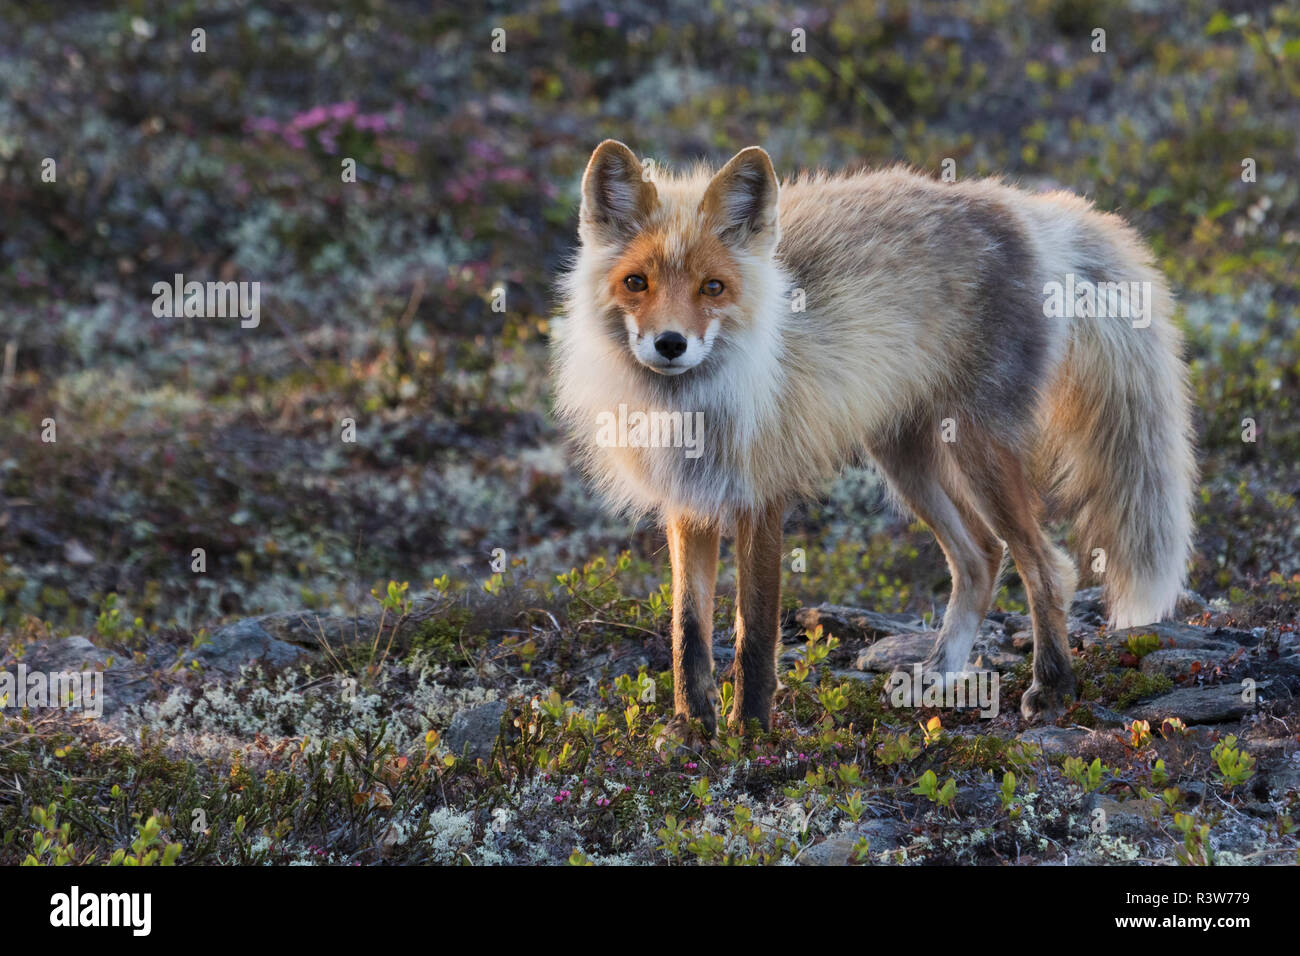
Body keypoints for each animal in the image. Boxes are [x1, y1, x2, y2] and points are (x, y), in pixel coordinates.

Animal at [551, 140, 1195, 732]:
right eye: (637, 282)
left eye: (713, 287)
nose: (670, 344)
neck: (689, 411)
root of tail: (1022, 207)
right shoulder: (689, 505)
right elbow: (688, 632)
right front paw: (690, 730)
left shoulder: (761, 497)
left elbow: (754, 632)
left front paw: (749, 736)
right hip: (905, 457)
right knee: (981, 557)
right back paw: (938, 673)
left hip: (977, 449)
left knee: (1046, 565)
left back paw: (1053, 686)